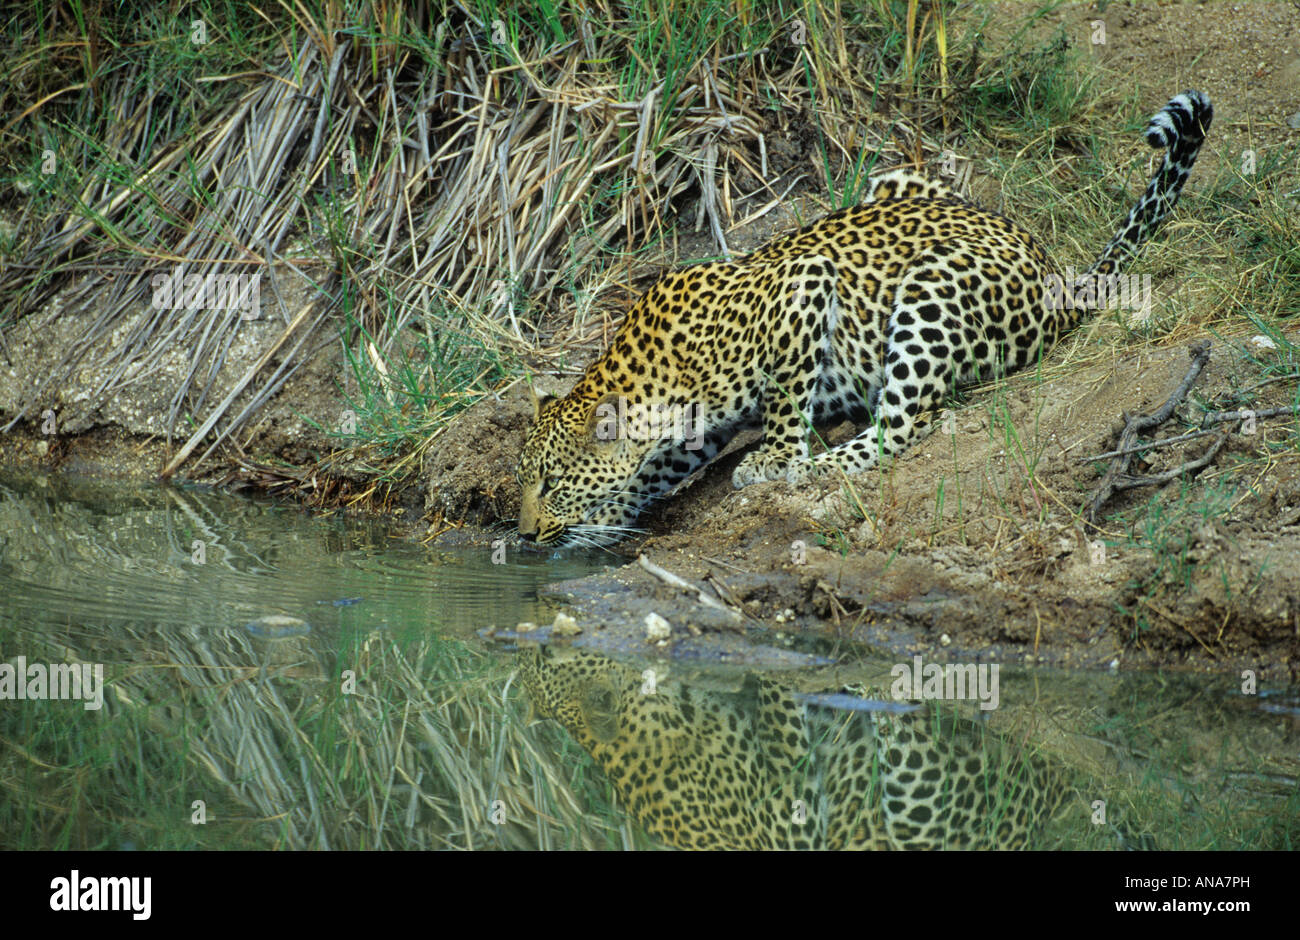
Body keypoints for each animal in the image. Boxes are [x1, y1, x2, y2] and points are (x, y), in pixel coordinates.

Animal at [517, 92, 1212, 547]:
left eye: (551, 483)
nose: (522, 535)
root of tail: (1054, 275)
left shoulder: (803, 285)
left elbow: (784, 395)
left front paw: (775, 458)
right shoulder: (694, 428)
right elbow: (655, 470)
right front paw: (609, 515)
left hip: (932, 288)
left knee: (902, 425)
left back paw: (809, 465)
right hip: (896, 182)